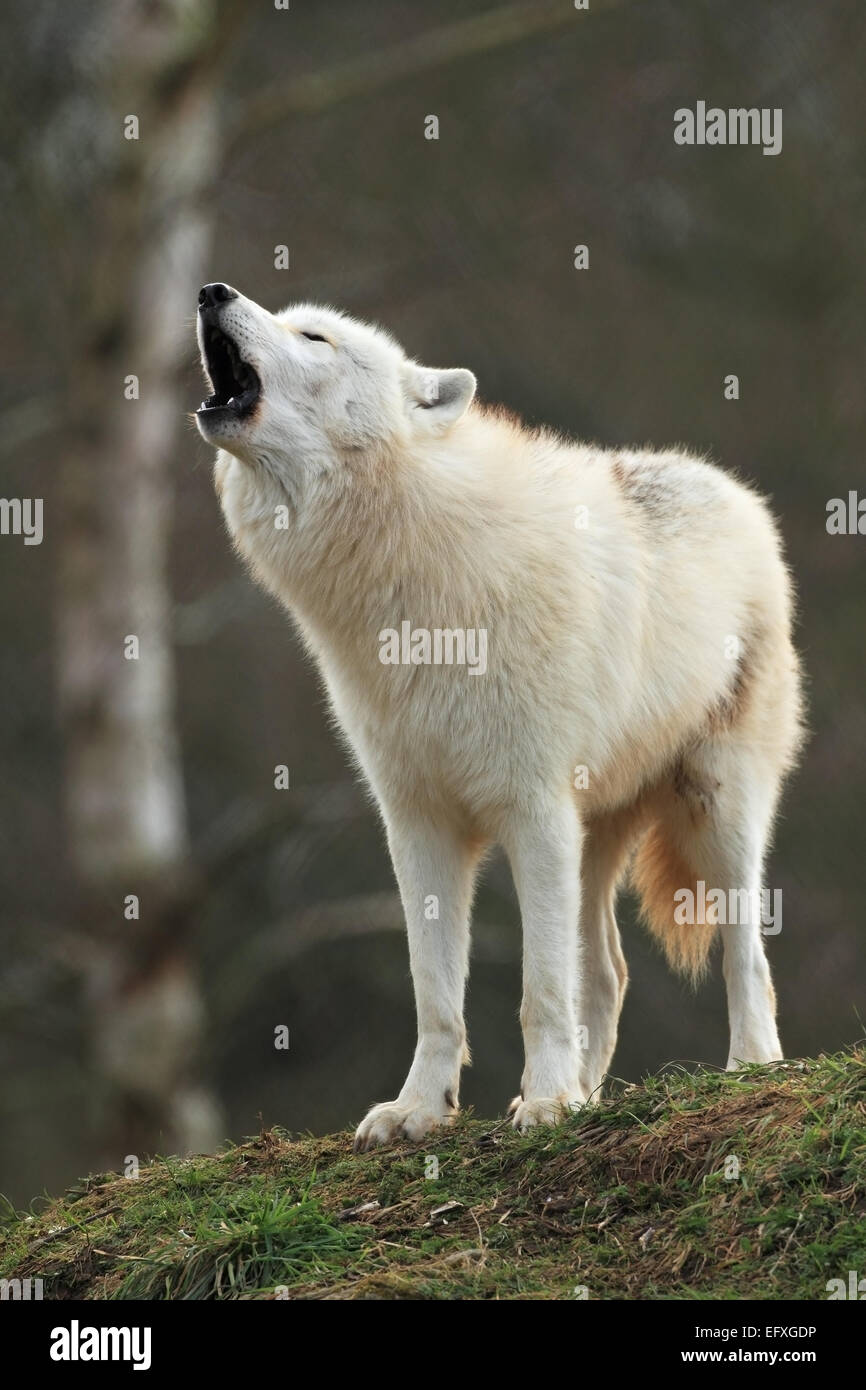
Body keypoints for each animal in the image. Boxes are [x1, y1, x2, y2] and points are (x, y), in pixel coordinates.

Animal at [194, 282, 804, 1151]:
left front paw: (546, 1103)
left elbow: (538, 988)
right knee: (608, 973)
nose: (213, 291)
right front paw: (420, 1111)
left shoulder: (532, 810)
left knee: (742, 954)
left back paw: (745, 1067)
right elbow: (436, 995)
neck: (407, 581)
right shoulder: (417, 824)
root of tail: (730, 486)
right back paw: (589, 1092)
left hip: (716, 806)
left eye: (313, 336)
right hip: (594, 837)